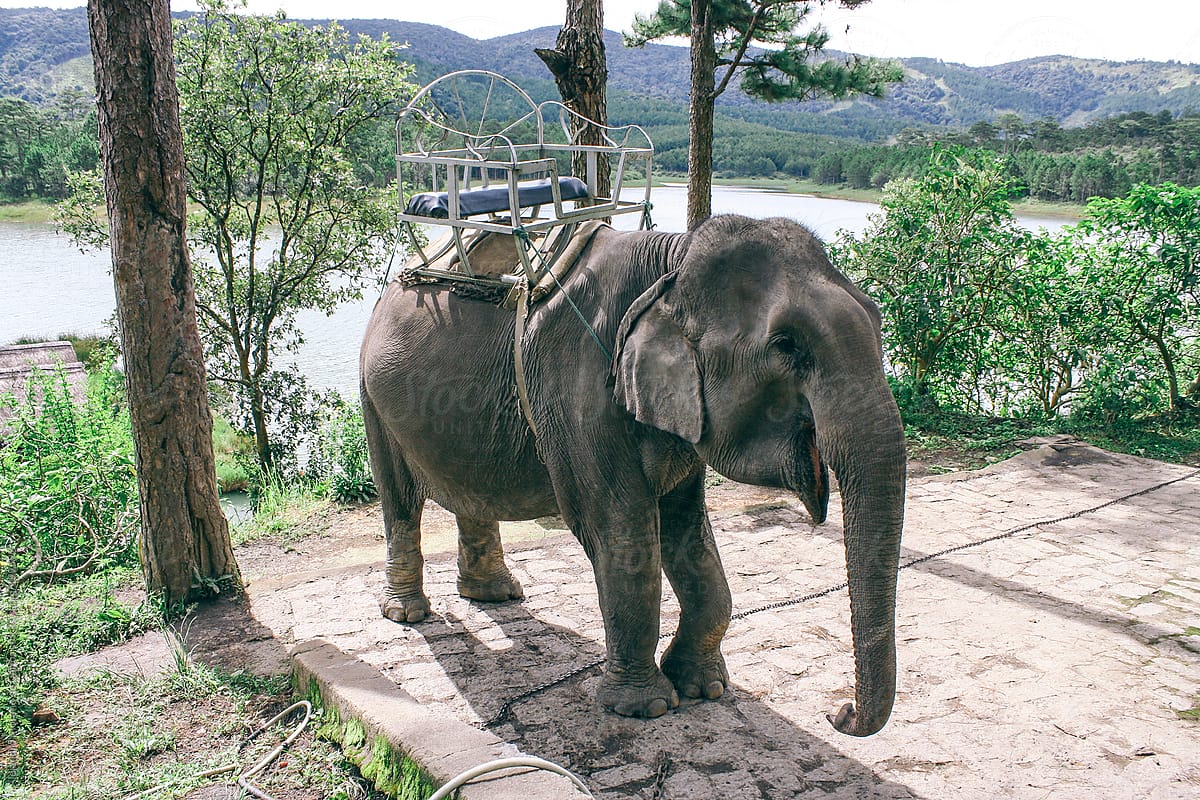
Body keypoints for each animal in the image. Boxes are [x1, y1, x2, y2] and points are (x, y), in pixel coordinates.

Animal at [359, 214, 906, 736]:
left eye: (879, 320)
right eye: (787, 345)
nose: (839, 713)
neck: (672, 265)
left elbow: (688, 530)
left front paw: (704, 687)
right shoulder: (578, 390)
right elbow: (621, 530)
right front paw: (646, 708)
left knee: (471, 495)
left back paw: (494, 595)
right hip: (372, 397)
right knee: (399, 499)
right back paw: (407, 612)